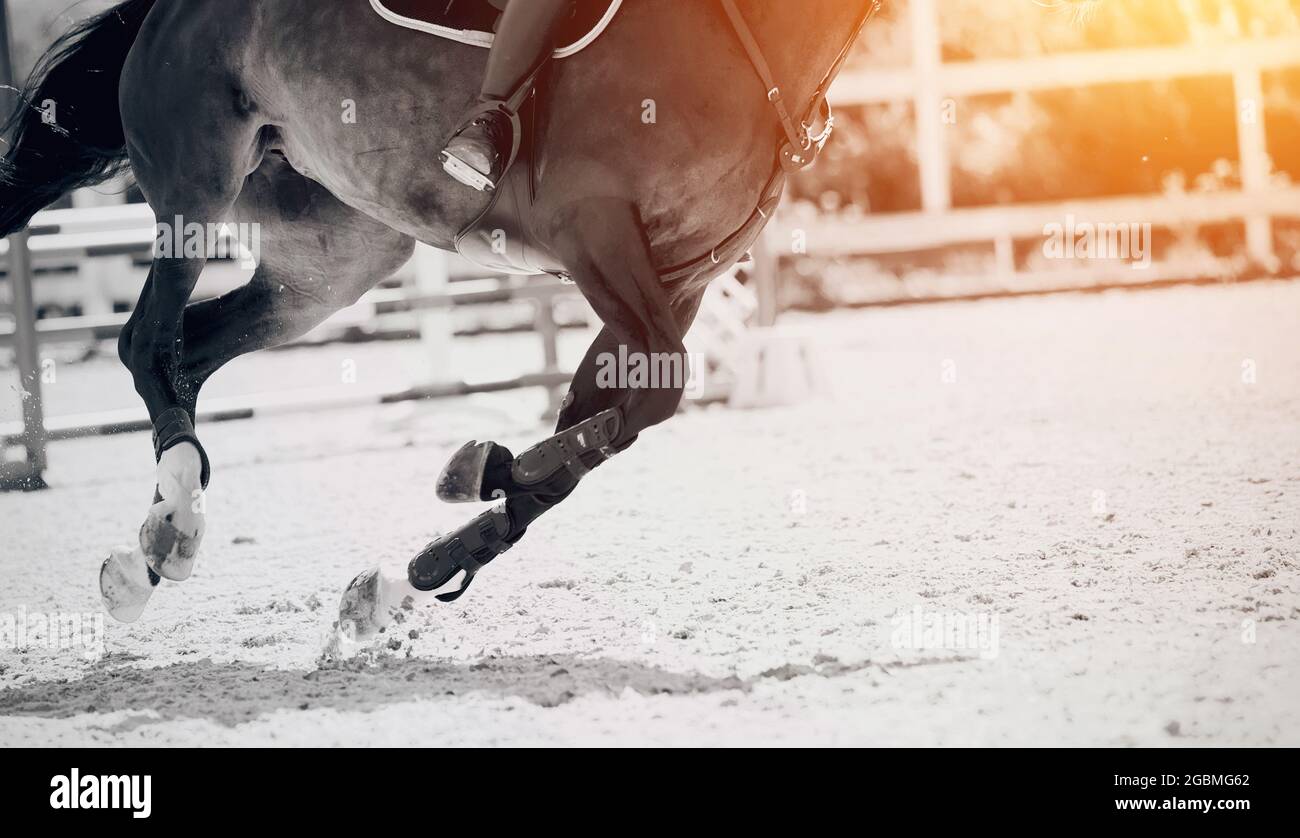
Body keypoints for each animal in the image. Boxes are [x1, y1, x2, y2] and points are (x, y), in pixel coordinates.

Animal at [0, 0, 880, 636]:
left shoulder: (678, 280)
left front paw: (436, 557)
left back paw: (154, 546)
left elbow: (607, 421)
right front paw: (487, 473)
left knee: (194, 349)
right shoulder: (596, 232)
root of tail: (159, 9)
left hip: (335, 259)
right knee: (146, 344)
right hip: (198, 189)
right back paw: (172, 522)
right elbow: (639, 403)